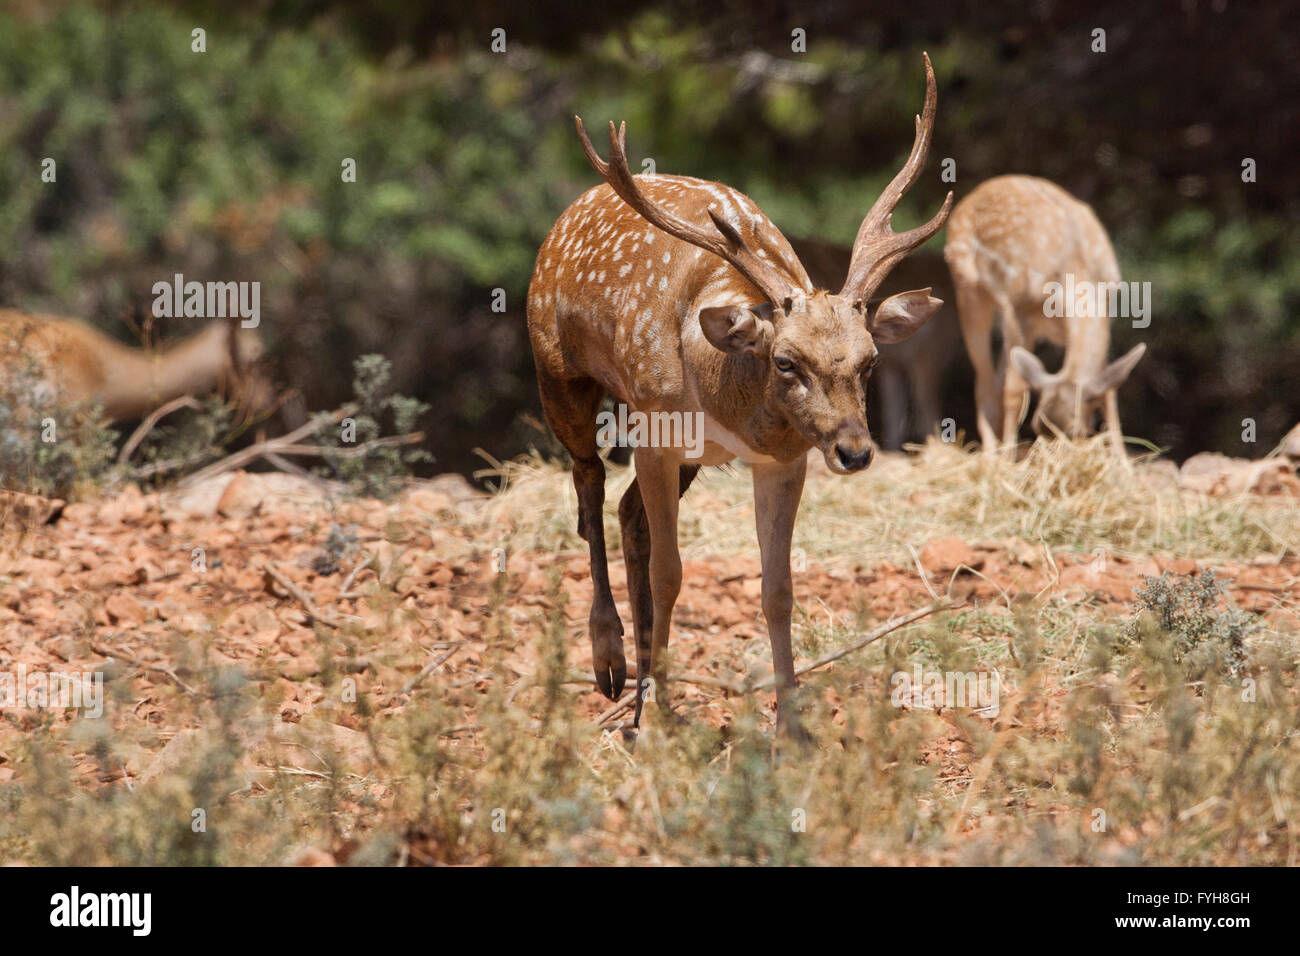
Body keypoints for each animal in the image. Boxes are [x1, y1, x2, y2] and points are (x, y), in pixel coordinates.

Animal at [526, 54, 952, 740]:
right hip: (558, 375)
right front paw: (663, 718)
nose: (856, 451)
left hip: (684, 455)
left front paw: (794, 729)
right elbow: (672, 572)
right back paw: (612, 664)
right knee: (588, 490)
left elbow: (776, 588)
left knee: (626, 513)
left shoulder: (782, 459)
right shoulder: (656, 434)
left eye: (869, 360)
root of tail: (570, 210)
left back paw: (638, 687)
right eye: (786, 361)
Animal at [943, 175, 1146, 459]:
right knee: (985, 382)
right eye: (1038, 427)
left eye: (1077, 431)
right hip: (967, 286)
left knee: (996, 379)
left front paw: (1122, 461)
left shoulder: (1106, 309)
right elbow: (1015, 392)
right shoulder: (1019, 308)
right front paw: (1008, 462)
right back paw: (992, 454)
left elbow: (1108, 391)